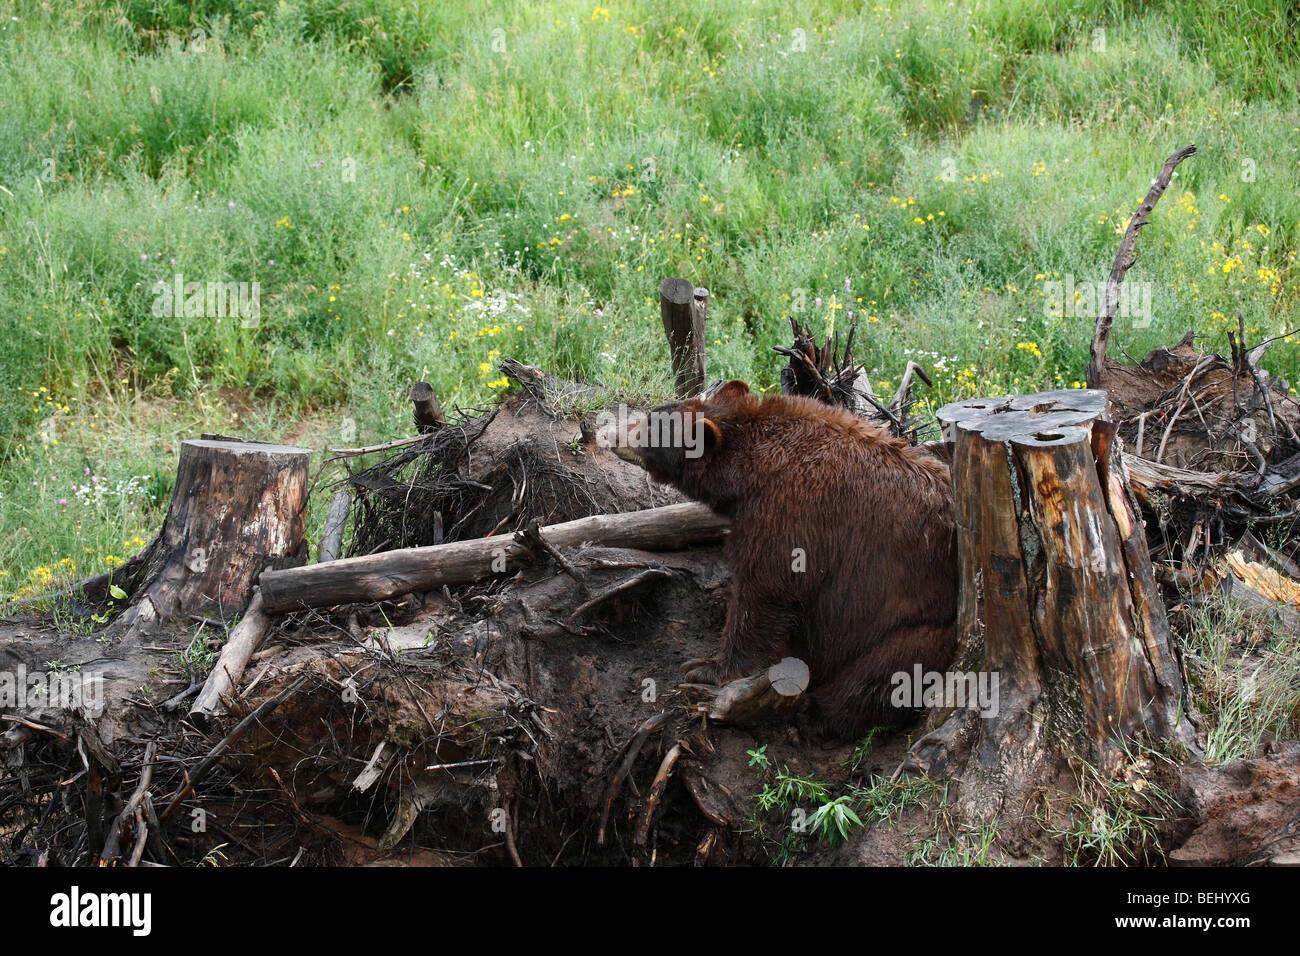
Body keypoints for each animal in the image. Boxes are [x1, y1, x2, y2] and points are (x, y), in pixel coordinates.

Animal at [602, 379, 958, 739]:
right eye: (653, 414)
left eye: (650, 427)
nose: (610, 433)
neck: (751, 468)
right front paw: (721, 598)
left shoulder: (789, 511)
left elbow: (767, 588)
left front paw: (706, 667)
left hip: (919, 623)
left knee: (886, 673)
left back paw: (814, 714)